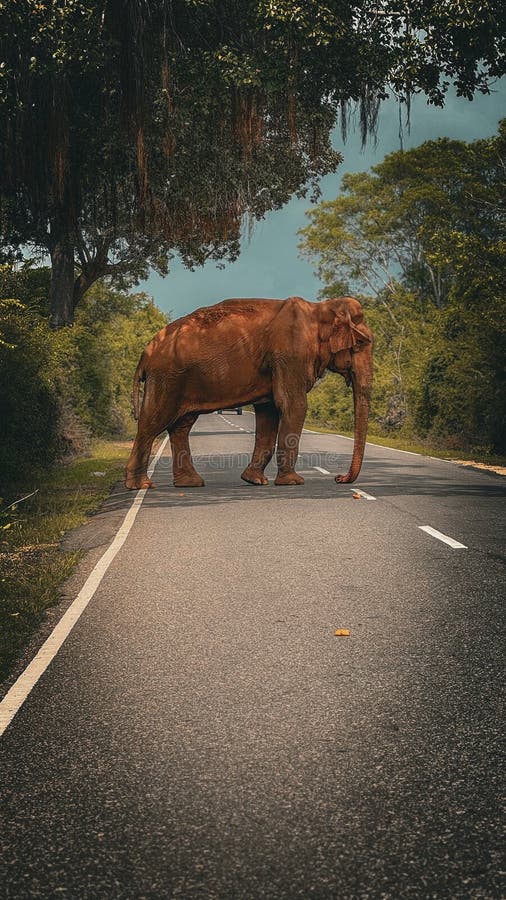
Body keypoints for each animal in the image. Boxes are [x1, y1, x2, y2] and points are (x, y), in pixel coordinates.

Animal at [124, 295, 373, 490]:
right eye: (361, 343)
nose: (339, 478)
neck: (320, 308)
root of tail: (145, 354)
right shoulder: (290, 356)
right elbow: (294, 405)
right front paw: (293, 482)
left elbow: (269, 412)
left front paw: (254, 480)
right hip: (167, 377)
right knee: (153, 422)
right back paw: (140, 485)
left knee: (181, 426)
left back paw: (190, 483)